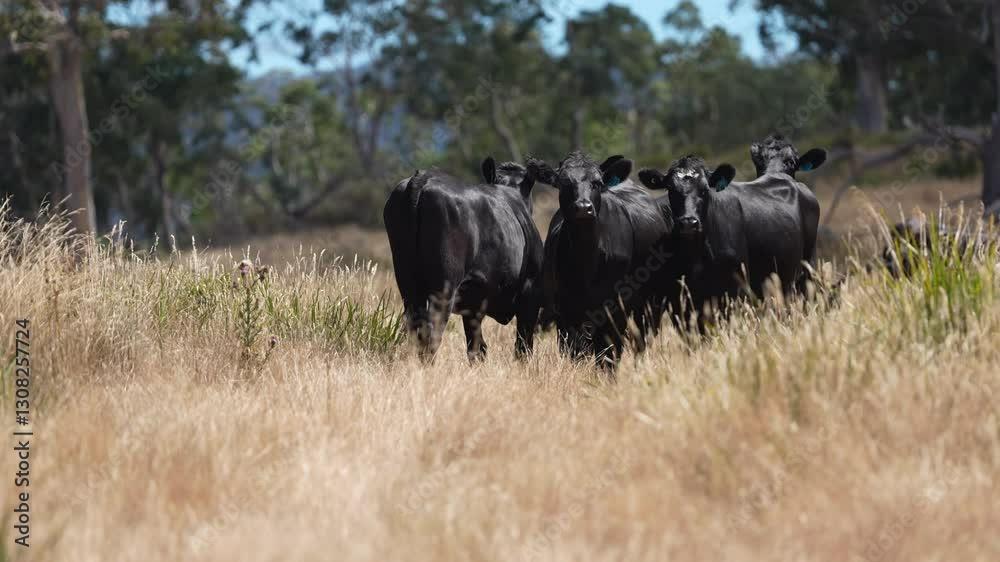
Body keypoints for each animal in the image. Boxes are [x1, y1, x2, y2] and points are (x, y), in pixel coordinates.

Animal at [383, 157, 544, 362]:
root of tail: (423, 178)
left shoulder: (473, 304)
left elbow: (477, 347)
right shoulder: (530, 292)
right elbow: (523, 347)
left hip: (407, 282)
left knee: (417, 326)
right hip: (444, 287)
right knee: (432, 332)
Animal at [527, 151, 674, 370]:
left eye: (597, 182)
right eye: (564, 182)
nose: (583, 207)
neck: (586, 260)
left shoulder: (614, 308)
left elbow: (609, 353)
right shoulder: (564, 309)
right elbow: (574, 350)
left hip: (650, 304)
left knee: (641, 339)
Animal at [638, 153, 820, 328]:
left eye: (705, 189)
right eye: (671, 190)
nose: (689, 222)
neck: (698, 254)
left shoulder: (733, 289)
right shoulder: (680, 298)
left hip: (805, 271)